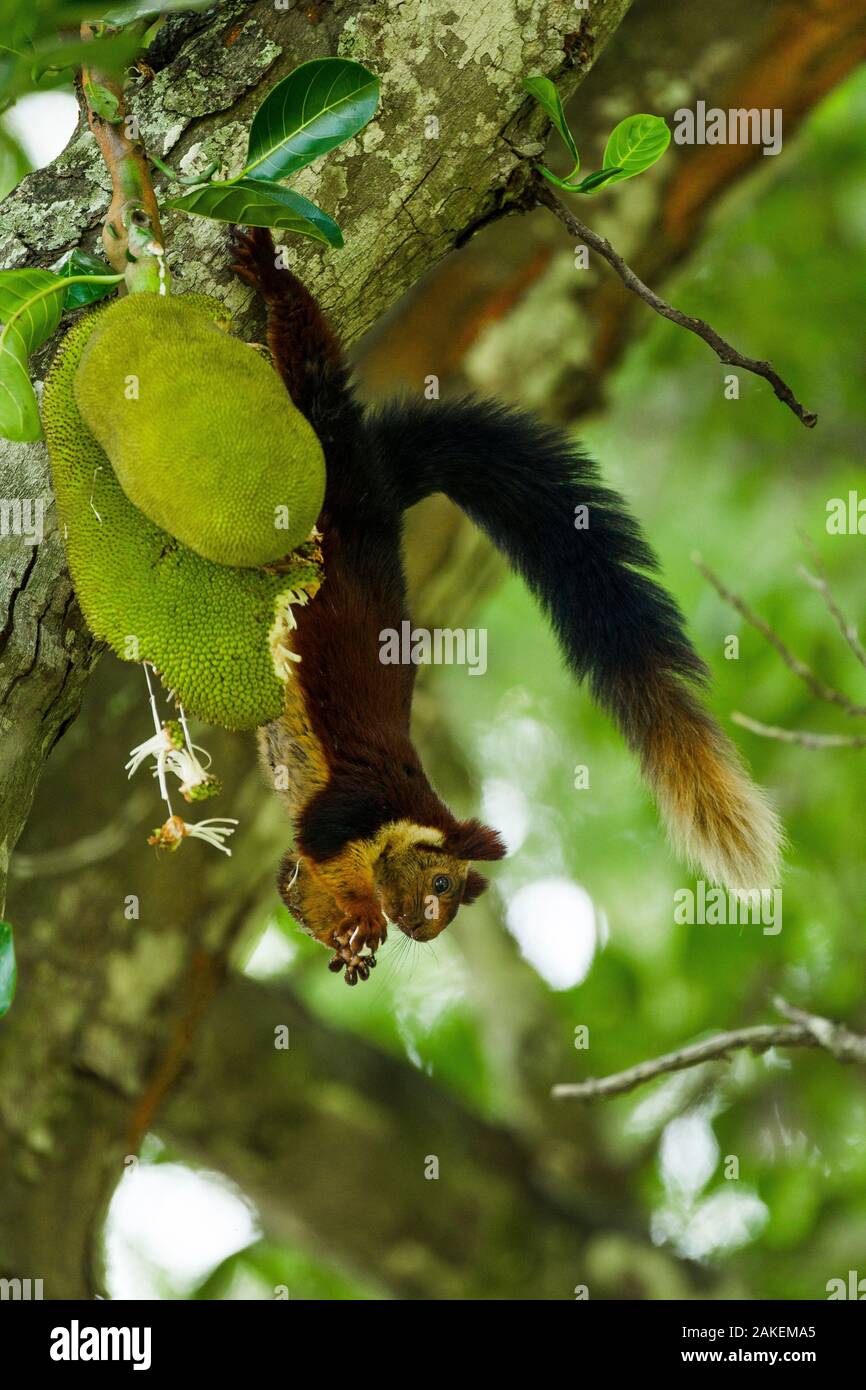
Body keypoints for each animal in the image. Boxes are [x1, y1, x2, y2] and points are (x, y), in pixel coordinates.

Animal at [231, 226, 782, 985]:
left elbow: (296, 879)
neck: (399, 822)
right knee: (317, 382)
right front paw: (364, 921)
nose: (424, 931)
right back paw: (271, 274)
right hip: (334, 470)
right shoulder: (350, 809)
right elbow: (316, 850)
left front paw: (348, 937)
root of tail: (382, 486)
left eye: (454, 902)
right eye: (440, 883)